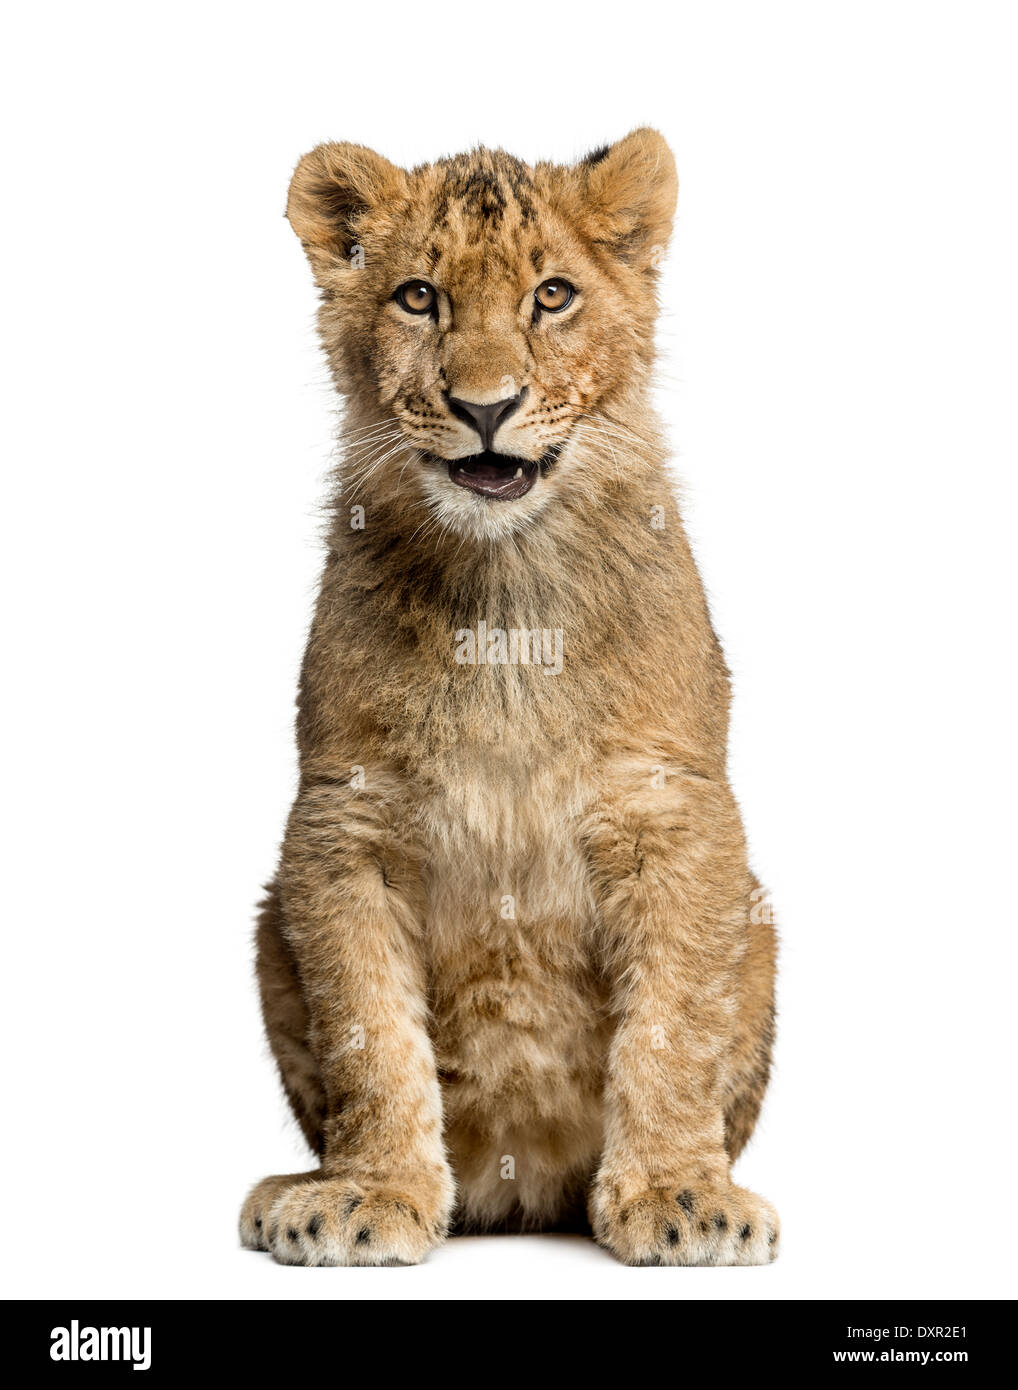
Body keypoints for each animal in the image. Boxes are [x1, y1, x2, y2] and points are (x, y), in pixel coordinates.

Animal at [239, 130, 779, 1266]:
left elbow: (672, 1024)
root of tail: (520, 1197)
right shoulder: (343, 822)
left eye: (552, 295)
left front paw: (679, 1194)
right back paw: (297, 1184)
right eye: (418, 297)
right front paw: (369, 1192)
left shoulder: (673, 810)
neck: (503, 588)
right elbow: (366, 1032)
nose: (483, 406)